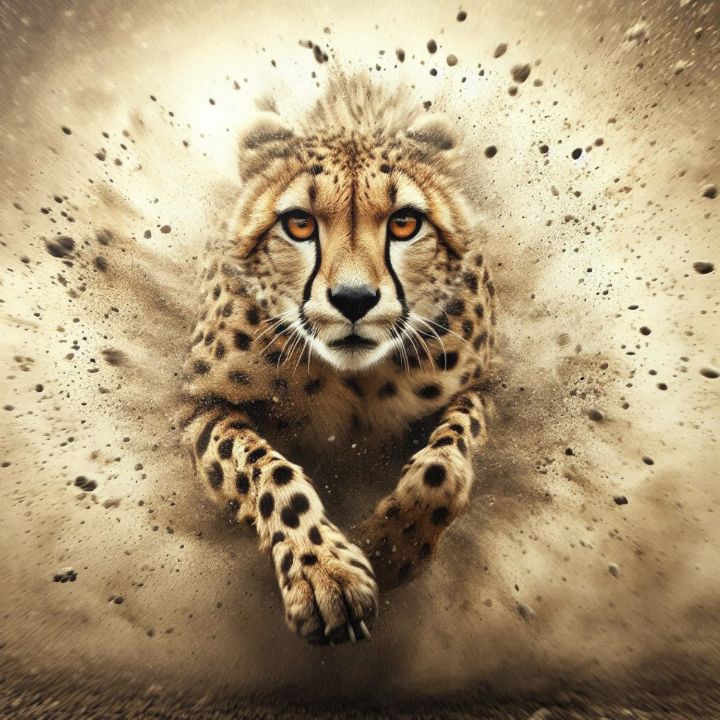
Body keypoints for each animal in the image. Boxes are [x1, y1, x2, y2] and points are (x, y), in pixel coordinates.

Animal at [181, 74, 496, 646]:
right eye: (300, 225)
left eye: (405, 224)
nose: (353, 299)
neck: (354, 379)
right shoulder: (203, 403)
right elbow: (268, 475)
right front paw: (324, 574)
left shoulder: (478, 389)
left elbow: (445, 464)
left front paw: (388, 549)